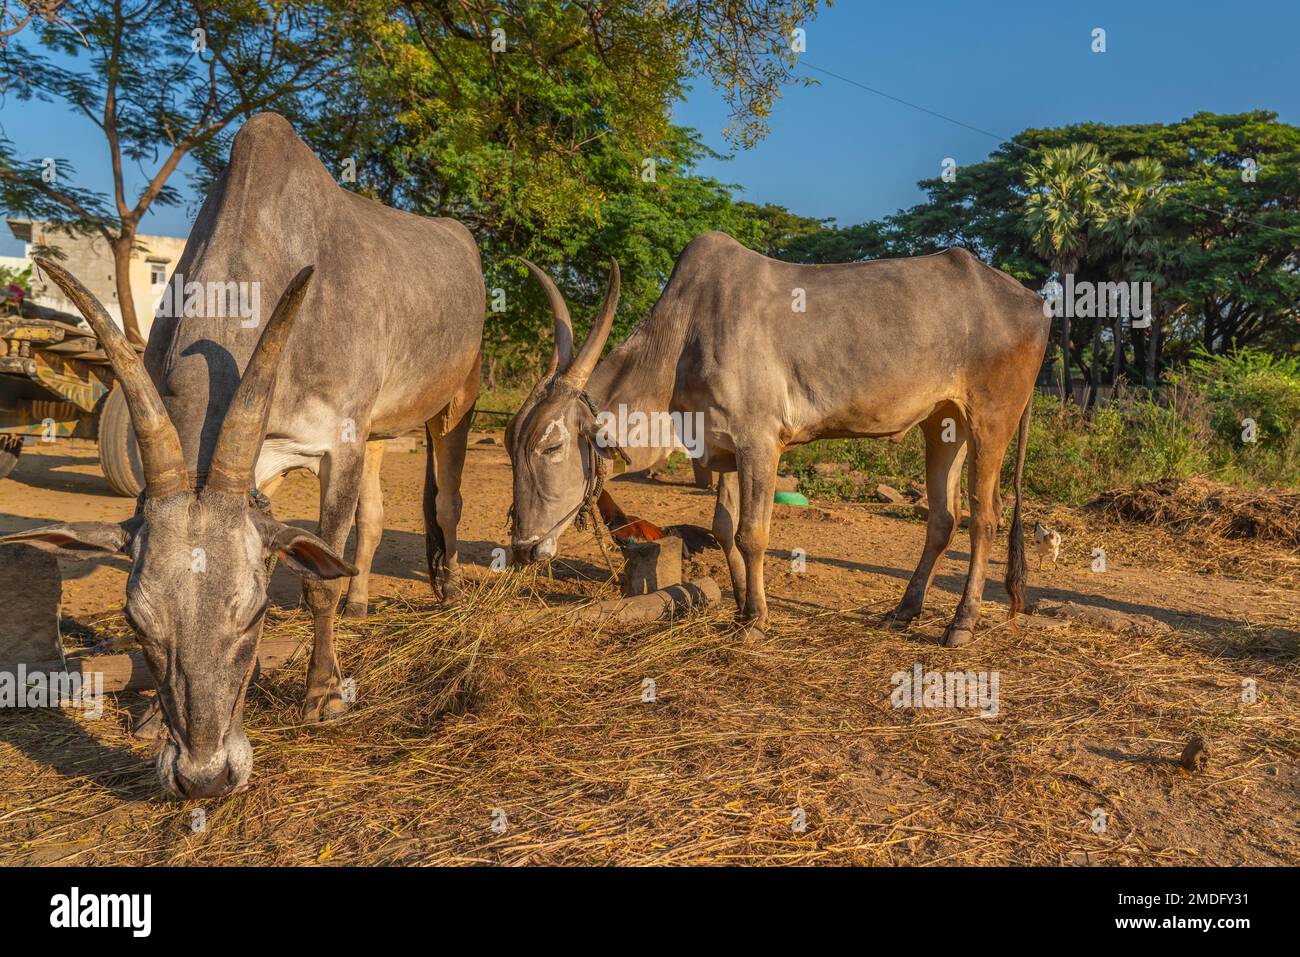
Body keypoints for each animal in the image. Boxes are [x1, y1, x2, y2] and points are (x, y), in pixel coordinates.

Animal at [1, 113, 484, 798]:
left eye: (255, 613)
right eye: (136, 620)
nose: (203, 777)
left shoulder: (338, 444)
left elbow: (317, 580)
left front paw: (322, 696)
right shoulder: (272, 467)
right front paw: (154, 716)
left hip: (456, 402)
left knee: (445, 500)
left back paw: (449, 590)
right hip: (378, 432)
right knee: (374, 516)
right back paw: (363, 599)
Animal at [505, 232, 1050, 646]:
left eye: (551, 446)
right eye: (512, 447)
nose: (523, 548)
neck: (683, 336)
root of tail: (1035, 302)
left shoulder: (758, 442)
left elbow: (752, 534)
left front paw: (757, 620)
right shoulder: (723, 449)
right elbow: (724, 528)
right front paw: (741, 607)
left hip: (991, 419)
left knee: (984, 517)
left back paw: (961, 623)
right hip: (944, 423)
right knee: (943, 518)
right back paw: (905, 609)